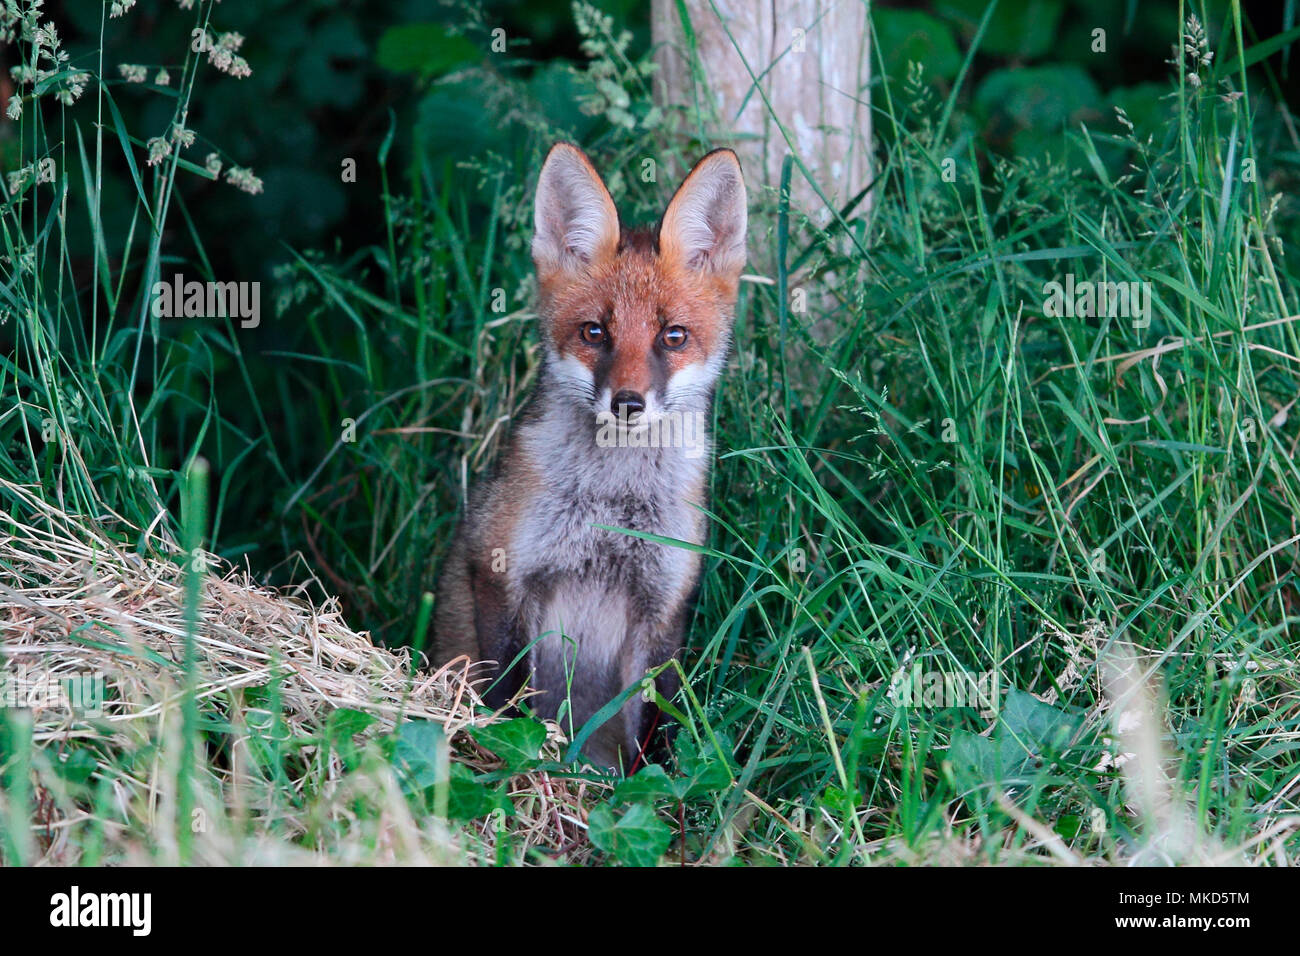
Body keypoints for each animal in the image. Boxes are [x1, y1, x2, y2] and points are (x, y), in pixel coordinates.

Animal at [431, 142, 747, 770]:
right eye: (594, 332)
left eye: (673, 336)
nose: (628, 403)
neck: (611, 504)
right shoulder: (503, 575)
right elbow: (507, 698)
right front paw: (512, 757)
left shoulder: (662, 609)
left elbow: (654, 728)